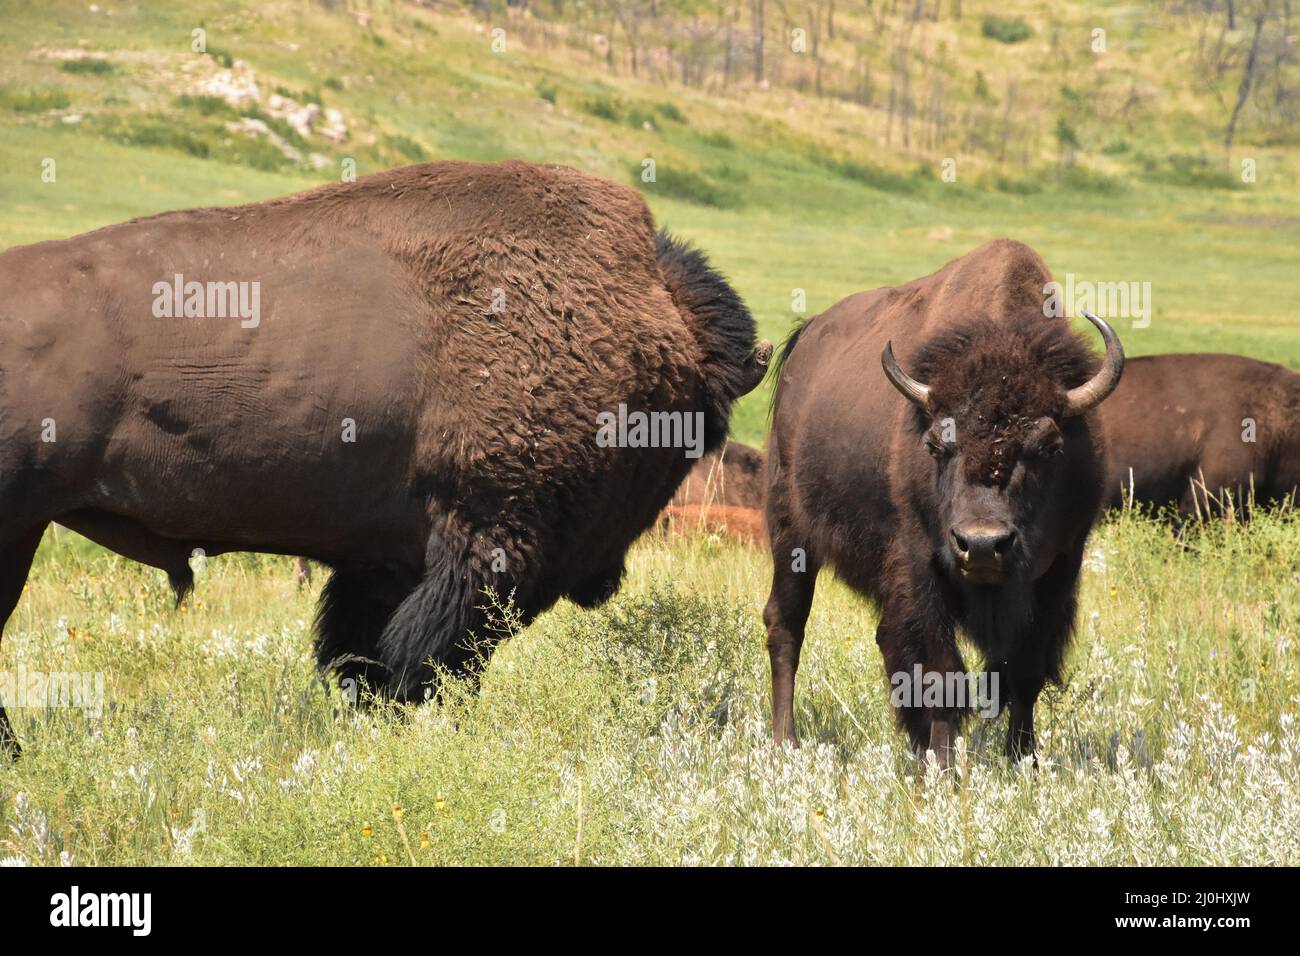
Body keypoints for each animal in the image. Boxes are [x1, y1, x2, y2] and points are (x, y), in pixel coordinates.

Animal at [0, 160, 771, 755]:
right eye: (692, 430)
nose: (604, 576)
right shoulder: (484, 547)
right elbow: (429, 660)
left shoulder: (389, 562)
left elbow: (366, 654)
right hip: (18, 527)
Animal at [764, 240, 1124, 764]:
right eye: (936, 444)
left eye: (1050, 446)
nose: (982, 545)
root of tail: (804, 342)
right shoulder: (921, 566)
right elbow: (942, 672)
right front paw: (945, 766)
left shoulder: (1059, 569)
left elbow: (1026, 671)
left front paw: (1023, 759)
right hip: (790, 536)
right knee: (787, 625)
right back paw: (785, 742)